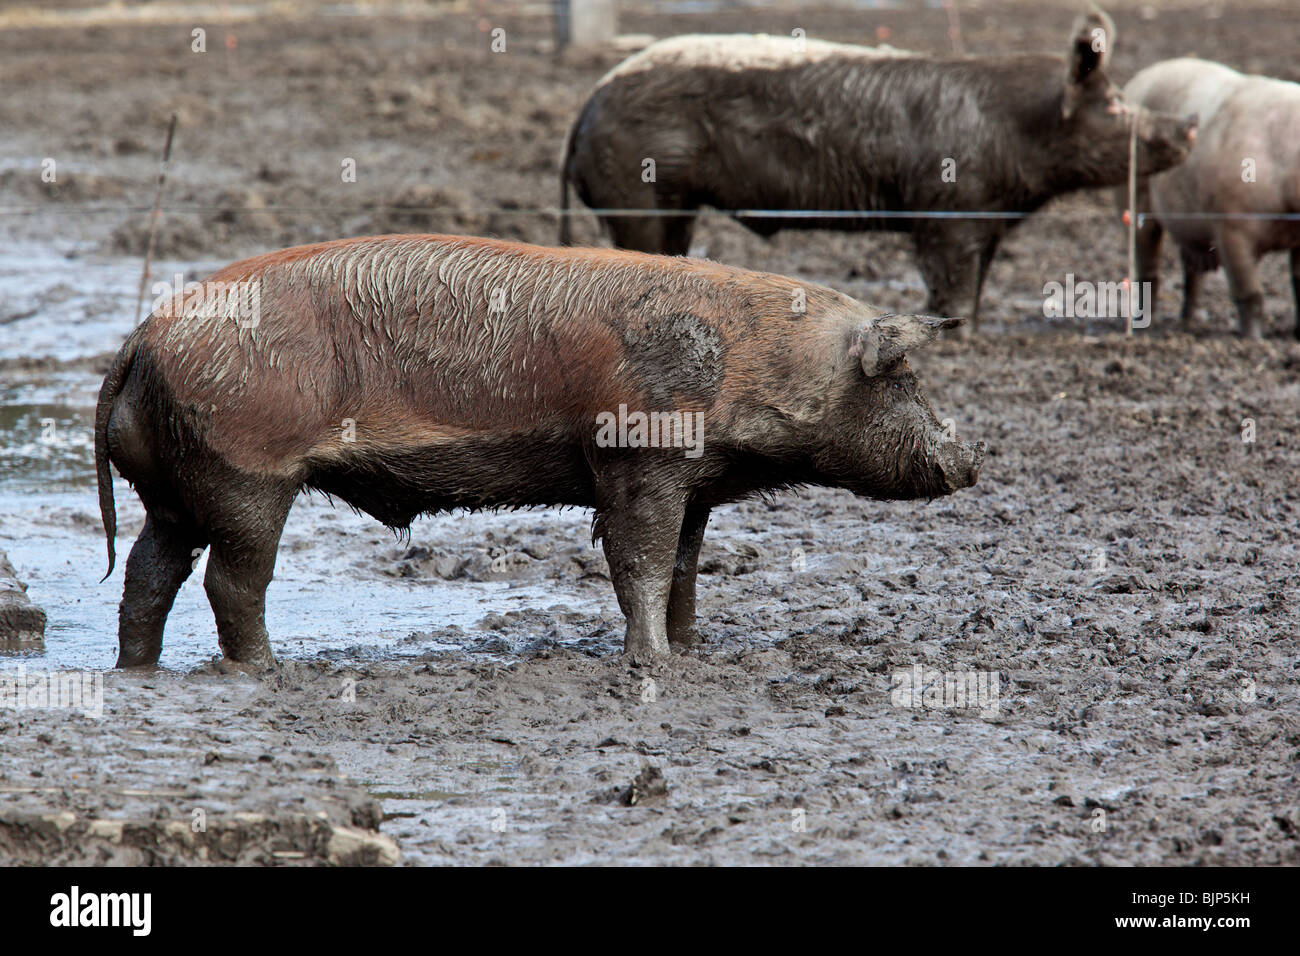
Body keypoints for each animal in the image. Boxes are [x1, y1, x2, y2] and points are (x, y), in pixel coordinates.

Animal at [95, 234, 983, 668]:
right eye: (902, 379)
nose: (972, 463)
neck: (755, 358)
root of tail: (142, 336)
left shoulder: (695, 481)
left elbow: (686, 568)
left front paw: (694, 650)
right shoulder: (637, 458)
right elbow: (639, 563)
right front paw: (652, 664)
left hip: (173, 485)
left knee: (149, 572)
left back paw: (137, 671)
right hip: (246, 470)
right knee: (230, 580)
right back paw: (265, 671)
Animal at [558, 10, 1198, 332]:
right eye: (1112, 106)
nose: (1188, 124)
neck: (1017, 130)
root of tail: (585, 105)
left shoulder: (988, 221)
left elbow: (980, 279)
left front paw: (973, 321)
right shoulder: (947, 212)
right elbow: (950, 279)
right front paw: (956, 328)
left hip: (675, 204)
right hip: (636, 193)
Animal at [1122, 58, 1300, 338]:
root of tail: (1140, 78)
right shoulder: (1232, 226)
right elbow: (1250, 293)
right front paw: (1254, 339)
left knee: (1192, 269)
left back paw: (1192, 321)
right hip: (1133, 196)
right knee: (1148, 264)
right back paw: (1146, 322)